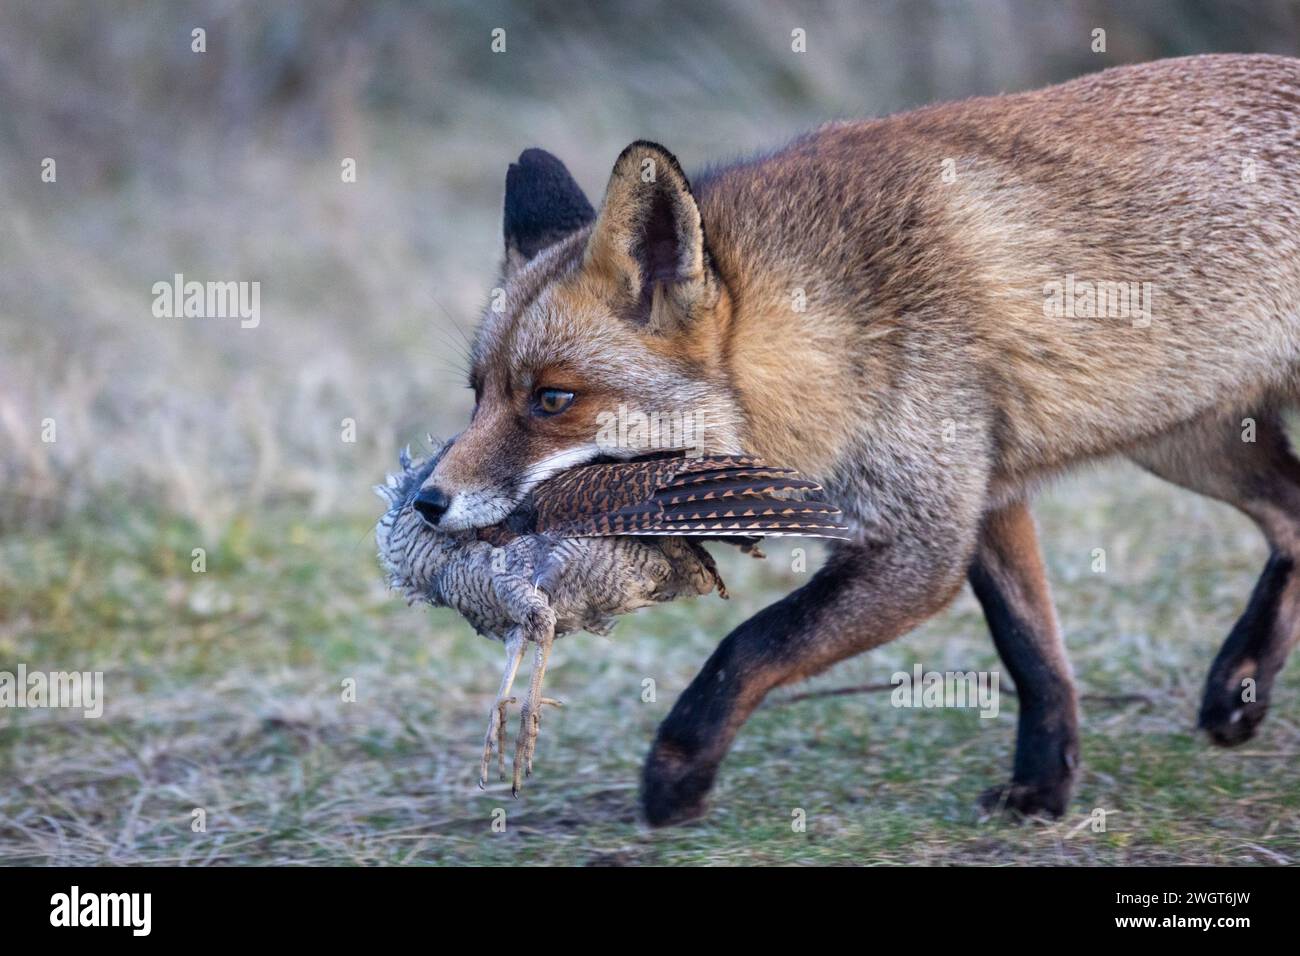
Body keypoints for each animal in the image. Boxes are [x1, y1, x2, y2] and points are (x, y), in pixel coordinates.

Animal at [417, 53, 1300, 827]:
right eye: (478, 394)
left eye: (553, 400)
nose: (426, 502)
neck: (832, 328)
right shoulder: (984, 499)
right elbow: (1034, 655)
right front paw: (1044, 789)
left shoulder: (920, 542)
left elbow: (749, 644)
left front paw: (675, 776)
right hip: (1188, 441)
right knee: (1293, 520)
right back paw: (1240, 684)